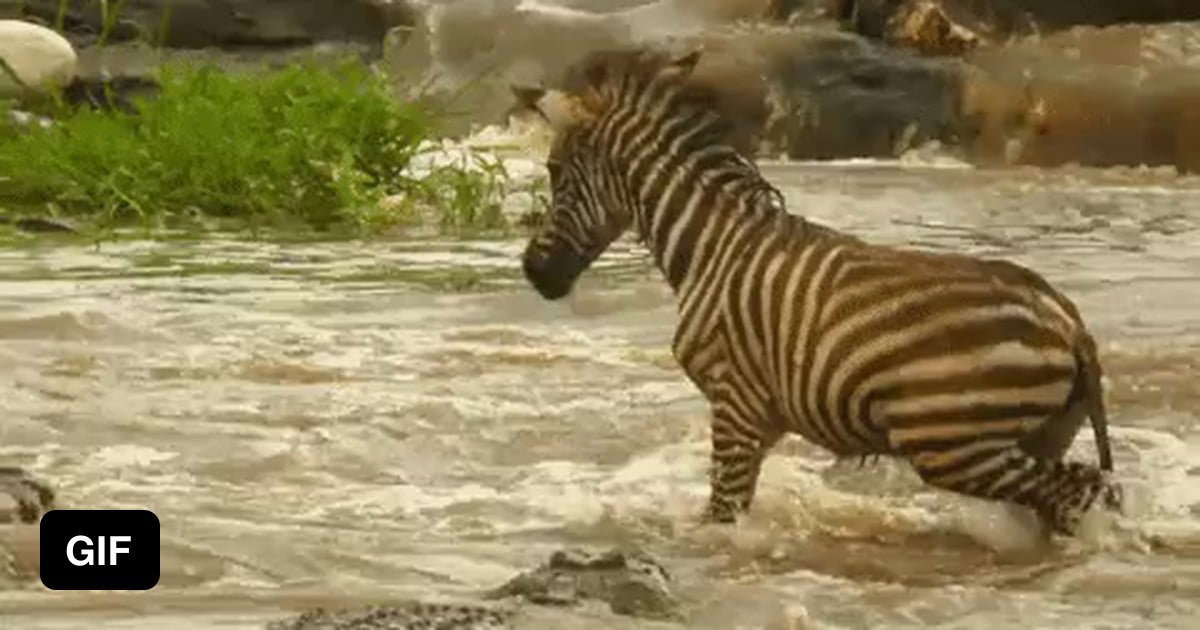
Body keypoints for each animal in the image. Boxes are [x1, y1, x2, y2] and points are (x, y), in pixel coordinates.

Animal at [510, 47, 1122, 536]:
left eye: (554, 169)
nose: (534, 274)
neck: (711, 246)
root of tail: (1068, 320)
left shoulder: (734, 404)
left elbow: (721, 514)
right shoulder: (761, 420)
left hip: (950, 440)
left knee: (1076, 490)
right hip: (1034, 434)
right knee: (1077, 494)